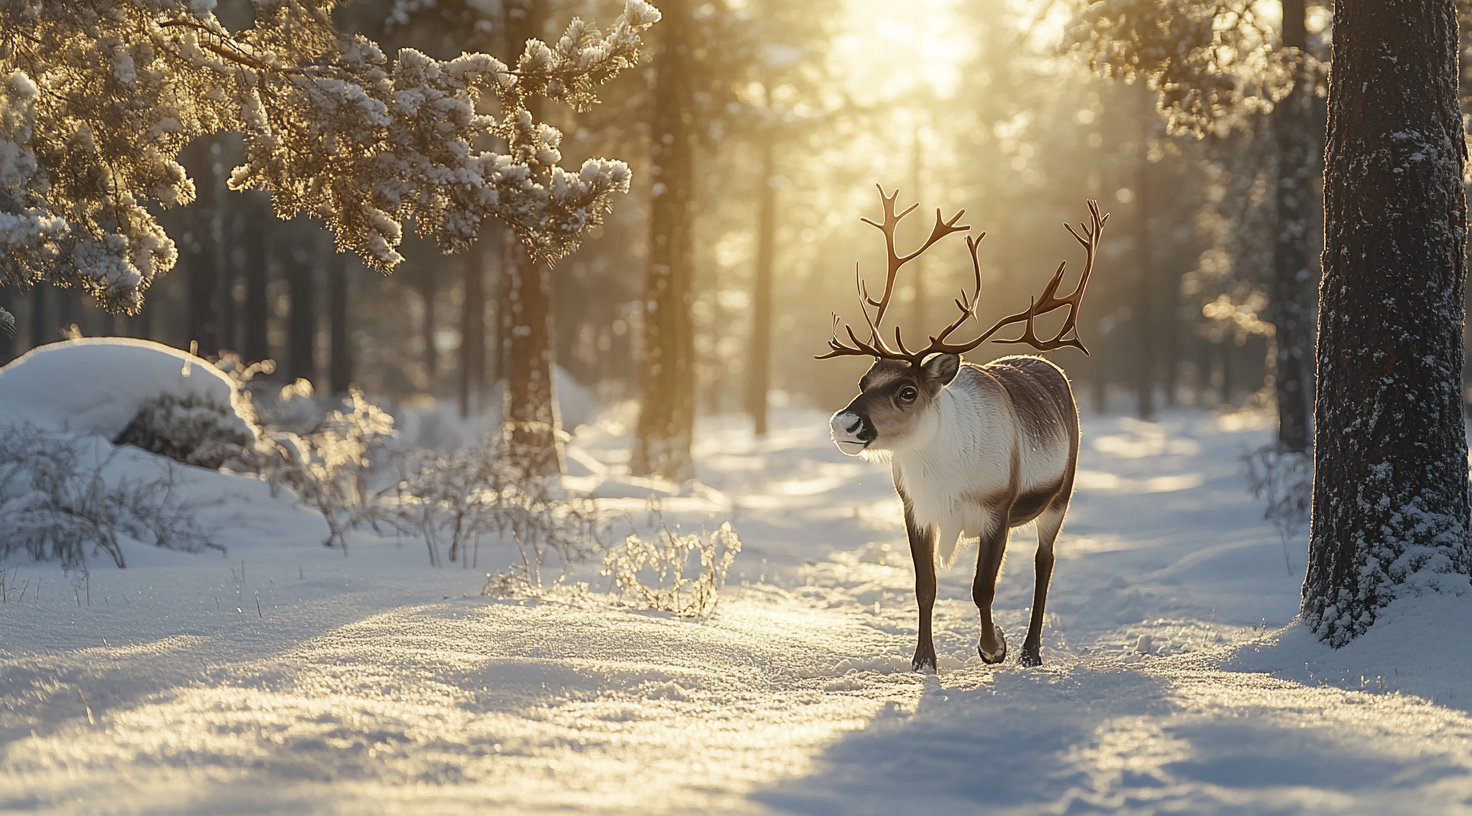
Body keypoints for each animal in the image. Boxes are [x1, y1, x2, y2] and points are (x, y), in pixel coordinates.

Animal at [822, 186, 1107, 671]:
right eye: (863, 381)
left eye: (908, 391)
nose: (846, 422)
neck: (942, 476)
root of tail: (1051, 368)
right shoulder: (915, 510)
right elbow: (925, 587)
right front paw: (923, 660)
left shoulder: (997, 511)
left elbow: (982, 588)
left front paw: (995, 648)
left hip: (1059, 497)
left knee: (1044, 562)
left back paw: (1030, 651)